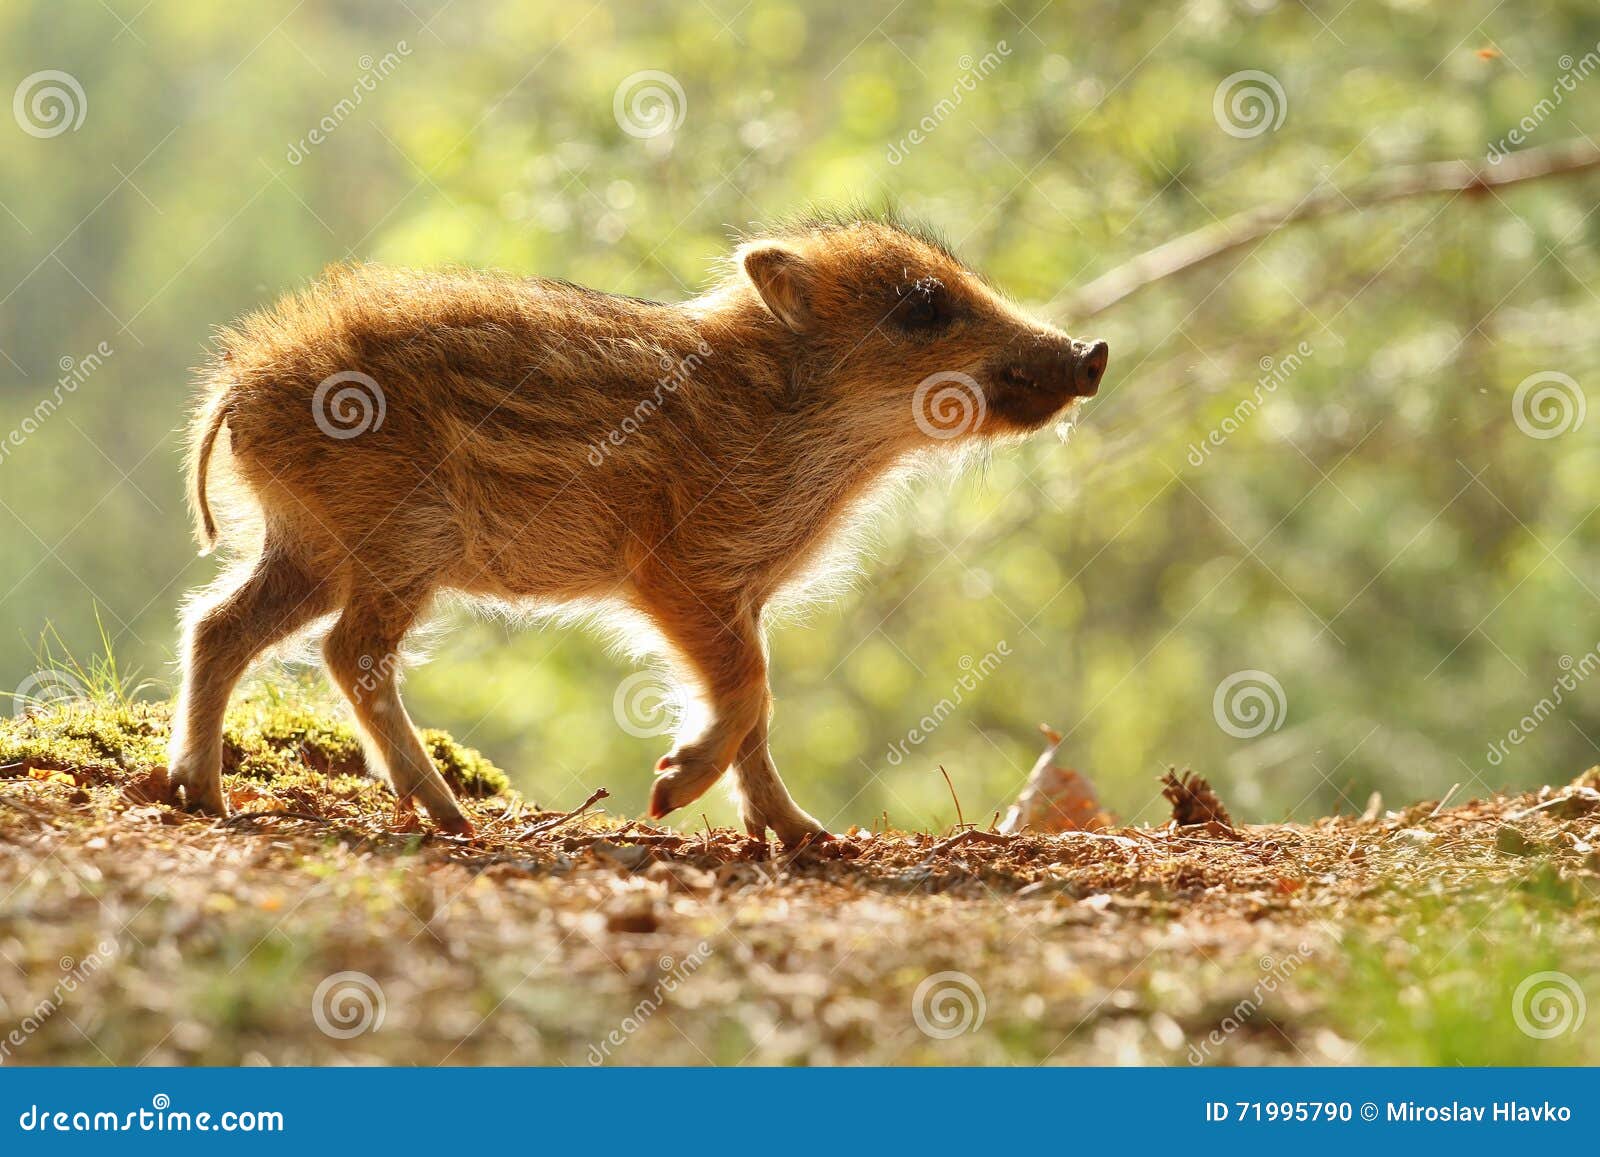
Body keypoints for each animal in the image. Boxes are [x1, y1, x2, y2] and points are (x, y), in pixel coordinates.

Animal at [168, 212, 1108, 846]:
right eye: (923, 307)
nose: (1091, 352)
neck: (791, 419)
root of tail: (241, 387)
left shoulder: (739, 591)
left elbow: (757, 713)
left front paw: (806, 836)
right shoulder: (680, 571)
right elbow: (750, 690)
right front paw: (668, 794)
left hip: (314, 545)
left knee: (219, 625)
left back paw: (201, 793)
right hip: (398, 543)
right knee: (345, 651)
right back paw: (447, 816)